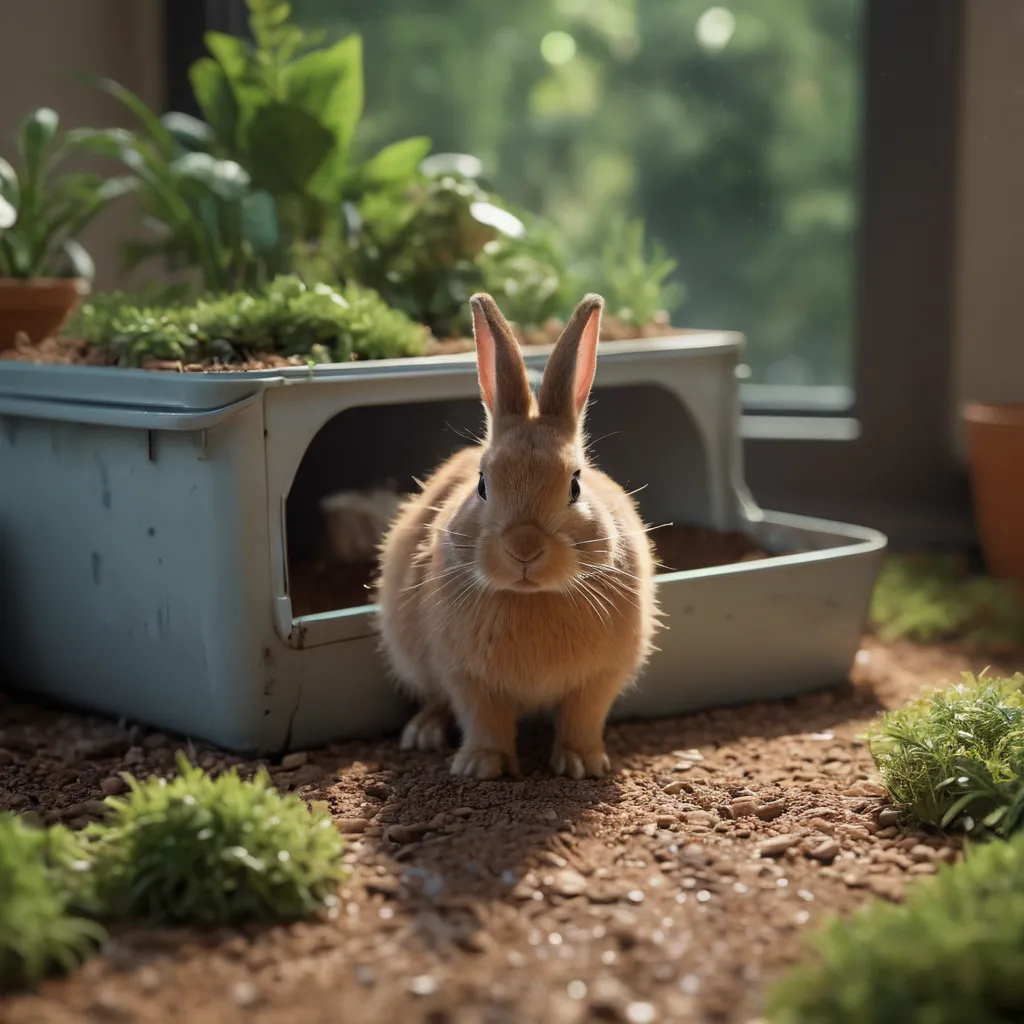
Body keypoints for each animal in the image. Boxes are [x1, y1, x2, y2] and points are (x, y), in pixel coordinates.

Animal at [376, 292, 660, 780]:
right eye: (482, 484)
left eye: (575, 484)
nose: (523, 548)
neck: (531, 597)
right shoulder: (465, 676)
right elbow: (481, 717)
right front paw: (481, 766)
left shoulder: (599, 679)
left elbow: (584, 716)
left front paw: (582, 764)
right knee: (435, 699)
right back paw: (423, 734)